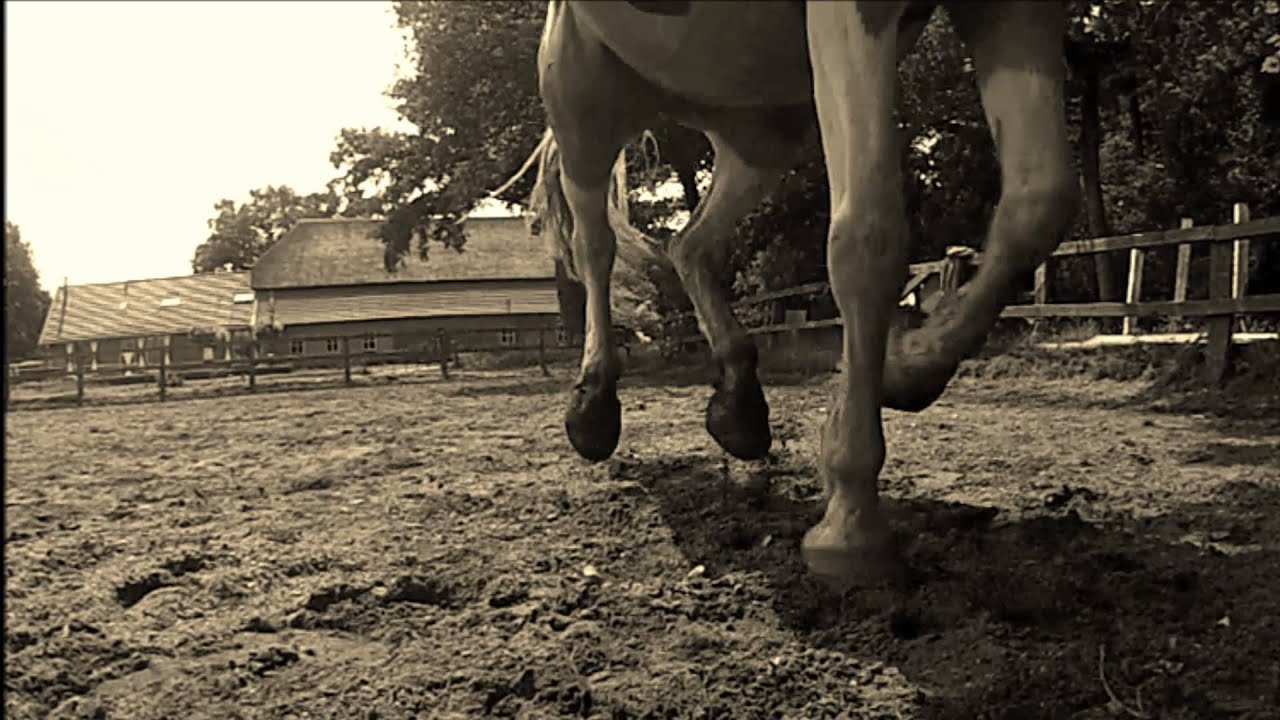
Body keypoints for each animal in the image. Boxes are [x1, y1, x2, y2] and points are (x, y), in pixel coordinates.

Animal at [523, 1, 1079, 582]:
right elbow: (868, 237)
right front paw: (850, 520)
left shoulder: (1017, 8)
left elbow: (1039, 204)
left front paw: (910, 368)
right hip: (582, 99)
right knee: (594, 247)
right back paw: (593, 404)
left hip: (762, 132)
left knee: (690, 244)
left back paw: (738, 403)